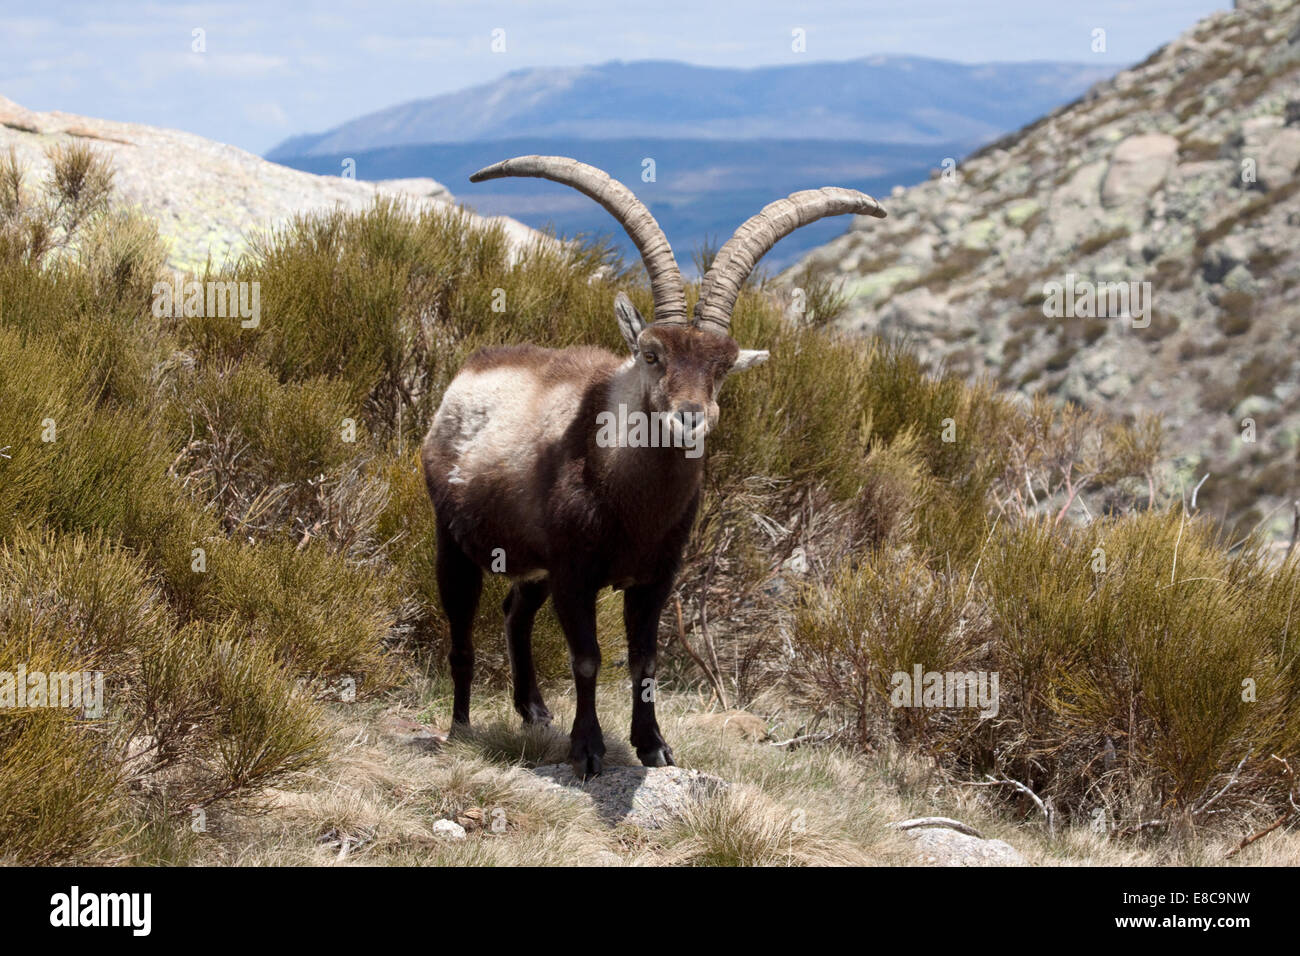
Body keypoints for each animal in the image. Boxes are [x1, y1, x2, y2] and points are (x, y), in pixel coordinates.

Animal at [421, 155, 885, 776]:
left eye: (725, 365)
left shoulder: (655, 575)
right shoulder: (575, 572)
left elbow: (645, 660)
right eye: (651, 353)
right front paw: (588, 750)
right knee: (463, 633)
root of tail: (467, 372)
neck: (629, 497)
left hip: (534, 562)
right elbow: (588, 658)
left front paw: (654, 746)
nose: (690, 417)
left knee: (516, 610)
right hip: (455, 541)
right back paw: (462, 726)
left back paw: (534, 711)